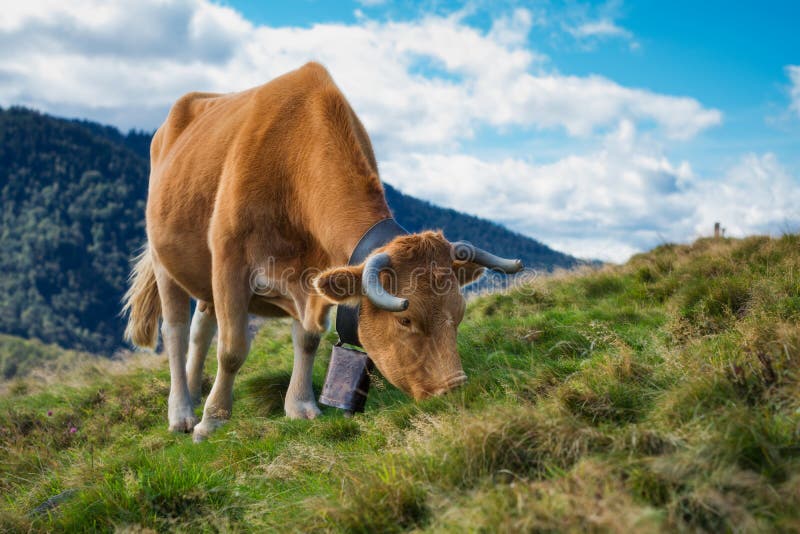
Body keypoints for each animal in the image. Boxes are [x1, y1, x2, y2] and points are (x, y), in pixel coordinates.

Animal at [123, 62, 522, 442]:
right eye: (406, 320)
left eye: (459, 313)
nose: (453, 389)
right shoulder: (229, 261)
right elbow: (232, 349)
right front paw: (214, 420)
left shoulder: (313, 277)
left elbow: (309, 338)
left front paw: (300, 405)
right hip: (164, 260)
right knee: (175, 331)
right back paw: (182, 412)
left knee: (200, 327)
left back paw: (193, 392)